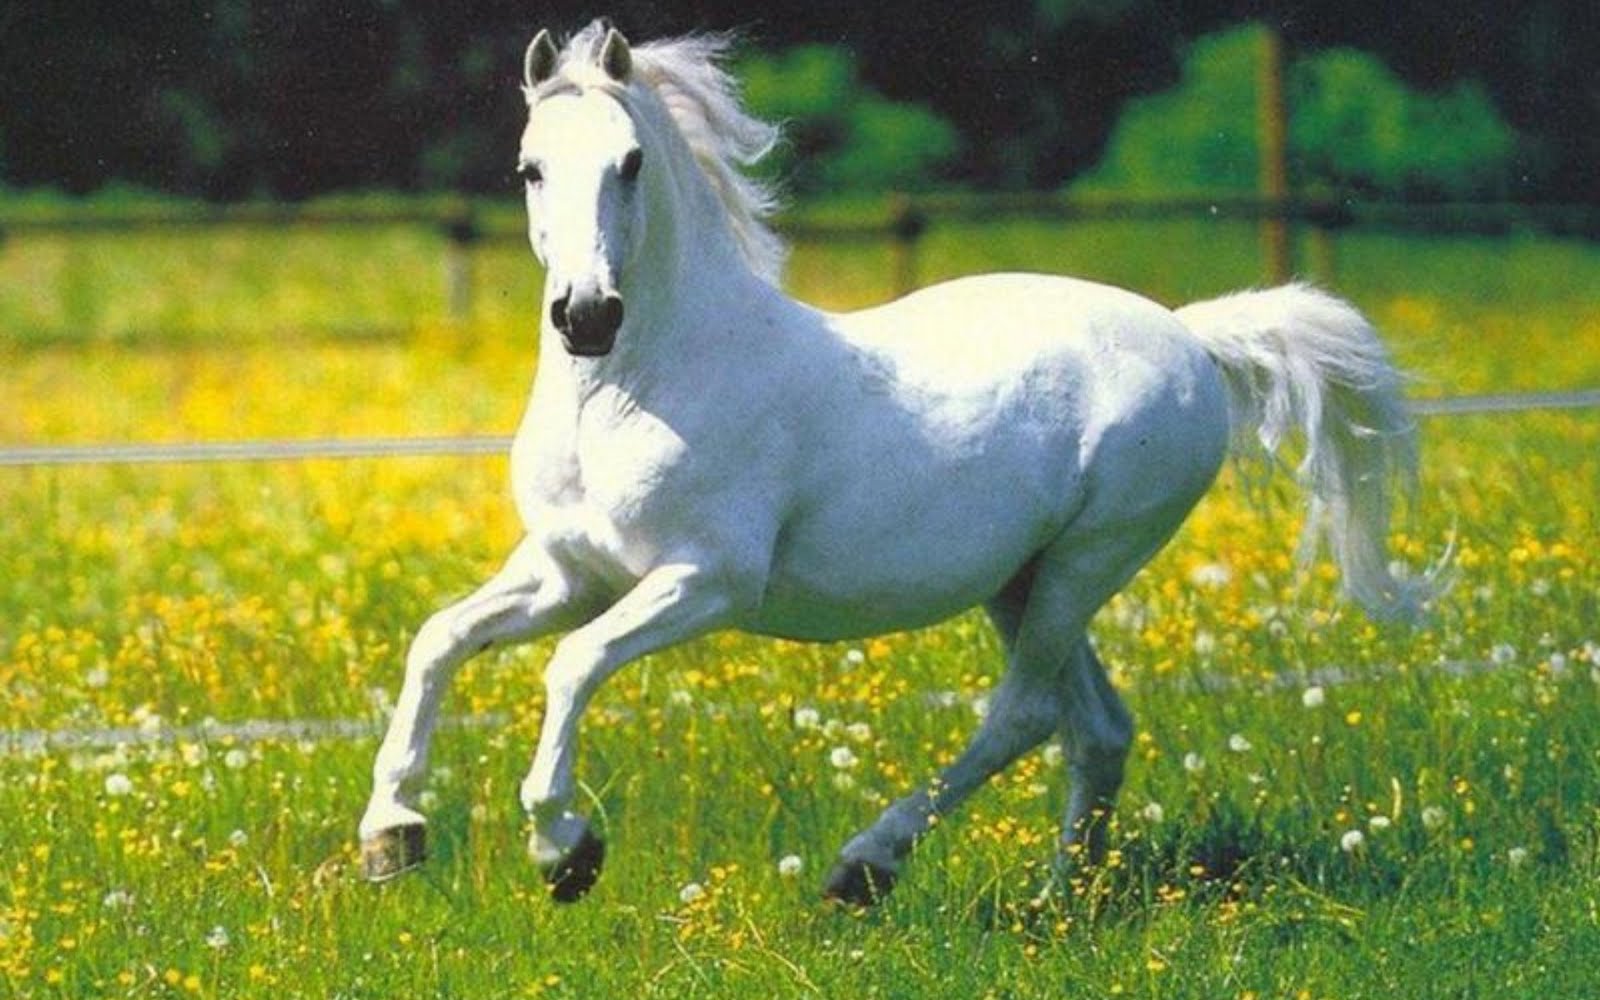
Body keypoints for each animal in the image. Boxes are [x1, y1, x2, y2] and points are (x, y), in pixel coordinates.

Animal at [359, 21, 1428, 905]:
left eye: (628, 163)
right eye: (531, 167)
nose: (585, 316)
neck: (634, 388)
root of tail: (1193, 339)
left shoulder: (706, 580)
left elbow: (573, 665)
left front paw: (566, 851)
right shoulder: (569, 571)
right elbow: (439, 640)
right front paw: (392, 835)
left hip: (1089, 559)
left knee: (1025, 714)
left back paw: (865, 867)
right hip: (1023, 579)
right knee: (1097, 726)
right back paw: (1059, 903)